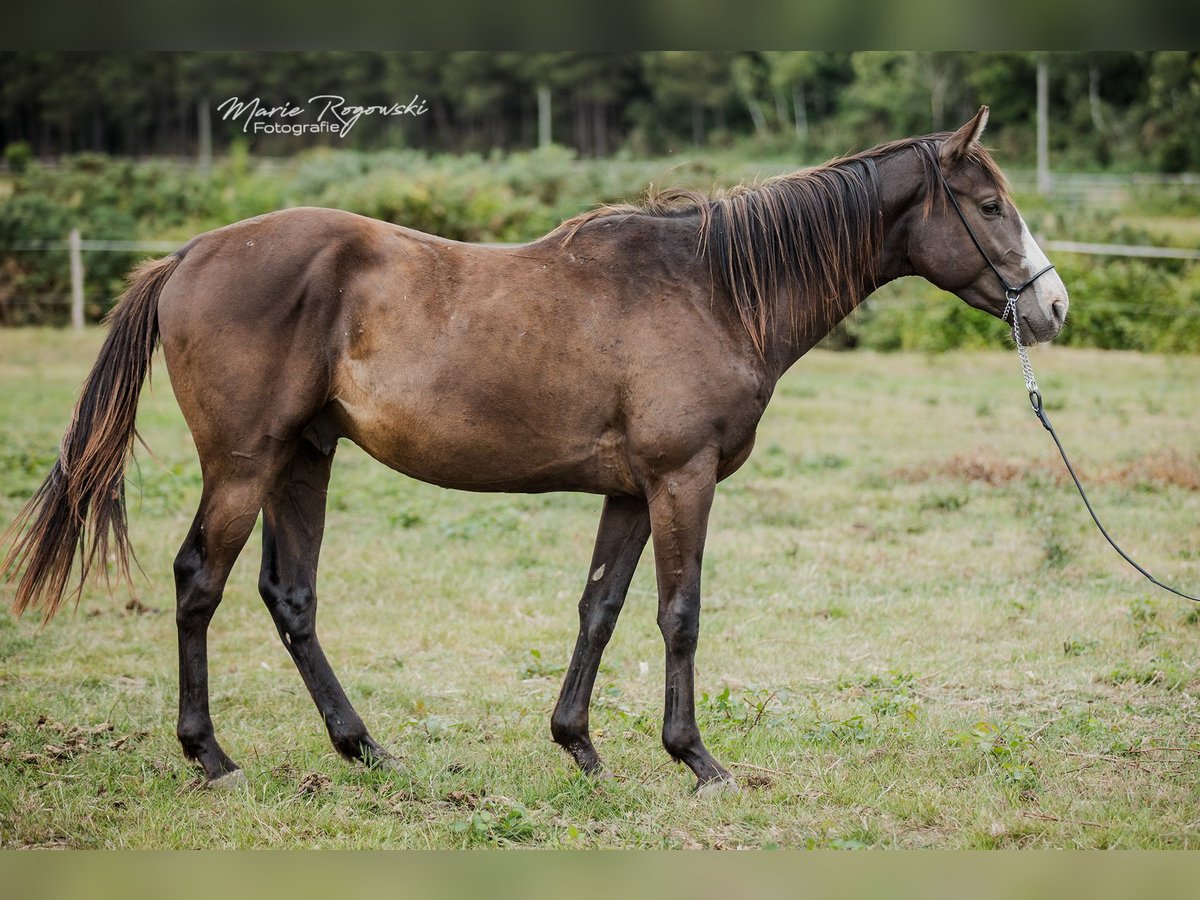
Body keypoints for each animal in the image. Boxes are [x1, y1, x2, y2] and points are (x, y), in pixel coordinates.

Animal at [2, 107, 1068, 793]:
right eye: (989, 206)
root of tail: (189, 255)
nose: (1053, 306)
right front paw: (698, 761)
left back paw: (365, 751)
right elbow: (679, 617)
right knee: (198, 584)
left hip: (304, 458)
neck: (715, 289)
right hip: (244, 463)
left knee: (288, 597)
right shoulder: (681, 482)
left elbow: (600, 610)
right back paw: (212, 758)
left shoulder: (633, 492)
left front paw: (580, 748)